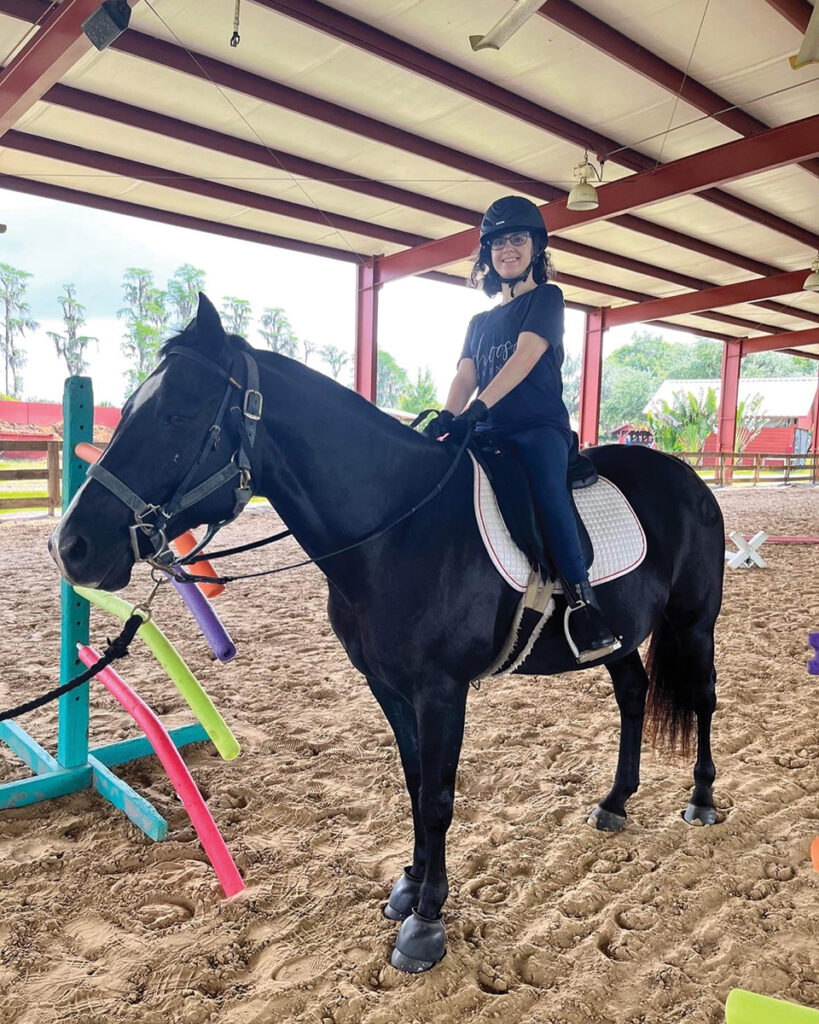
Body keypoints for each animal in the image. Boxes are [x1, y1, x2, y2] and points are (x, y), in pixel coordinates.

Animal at [50, 294, 725, 974]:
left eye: (178, 415)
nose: (70, 546)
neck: (397, 526)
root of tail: (689, 479)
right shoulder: (389, 686)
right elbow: (414, 782)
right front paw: (409, 885)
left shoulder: (440, 691)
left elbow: (438, 796)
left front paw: (427, 922)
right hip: (621, 638)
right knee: (634, 694)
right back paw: (616, 802)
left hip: (695, 621)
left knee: (703, 698)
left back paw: (701, 799)